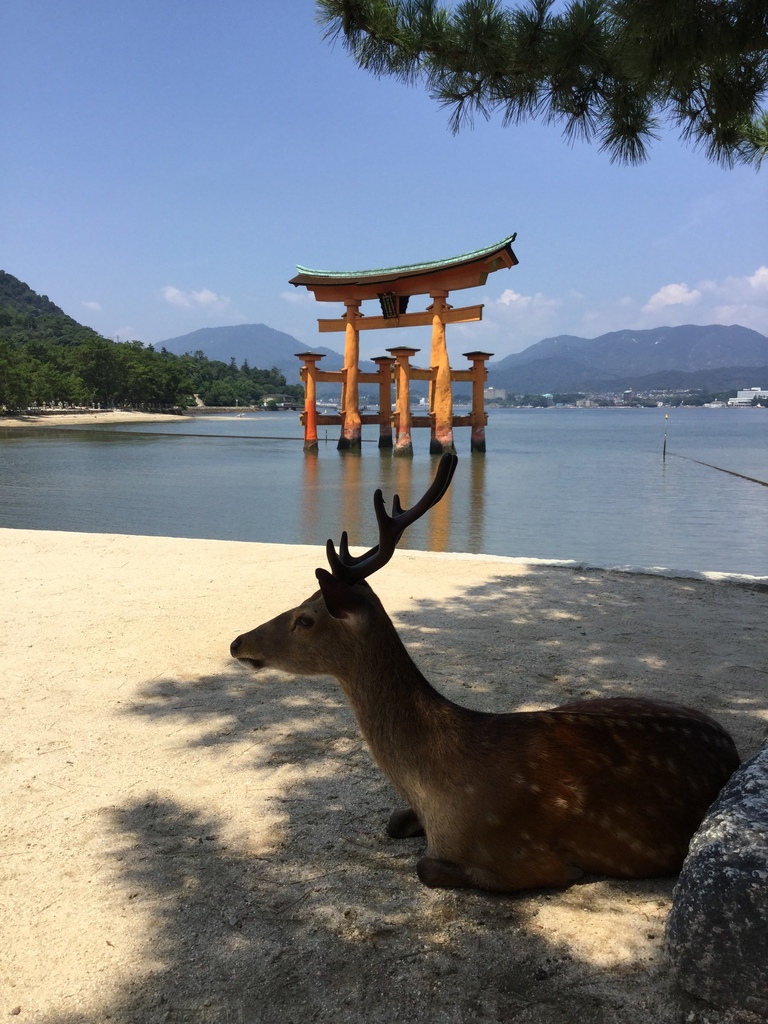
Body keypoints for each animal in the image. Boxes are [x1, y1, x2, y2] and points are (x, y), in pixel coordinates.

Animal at [230, 454, 740, 892]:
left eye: (305, 619)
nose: (238, 642)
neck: (438, 788)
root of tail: (731, 746)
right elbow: (393, 823)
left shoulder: (516, 855)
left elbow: (427, 867)